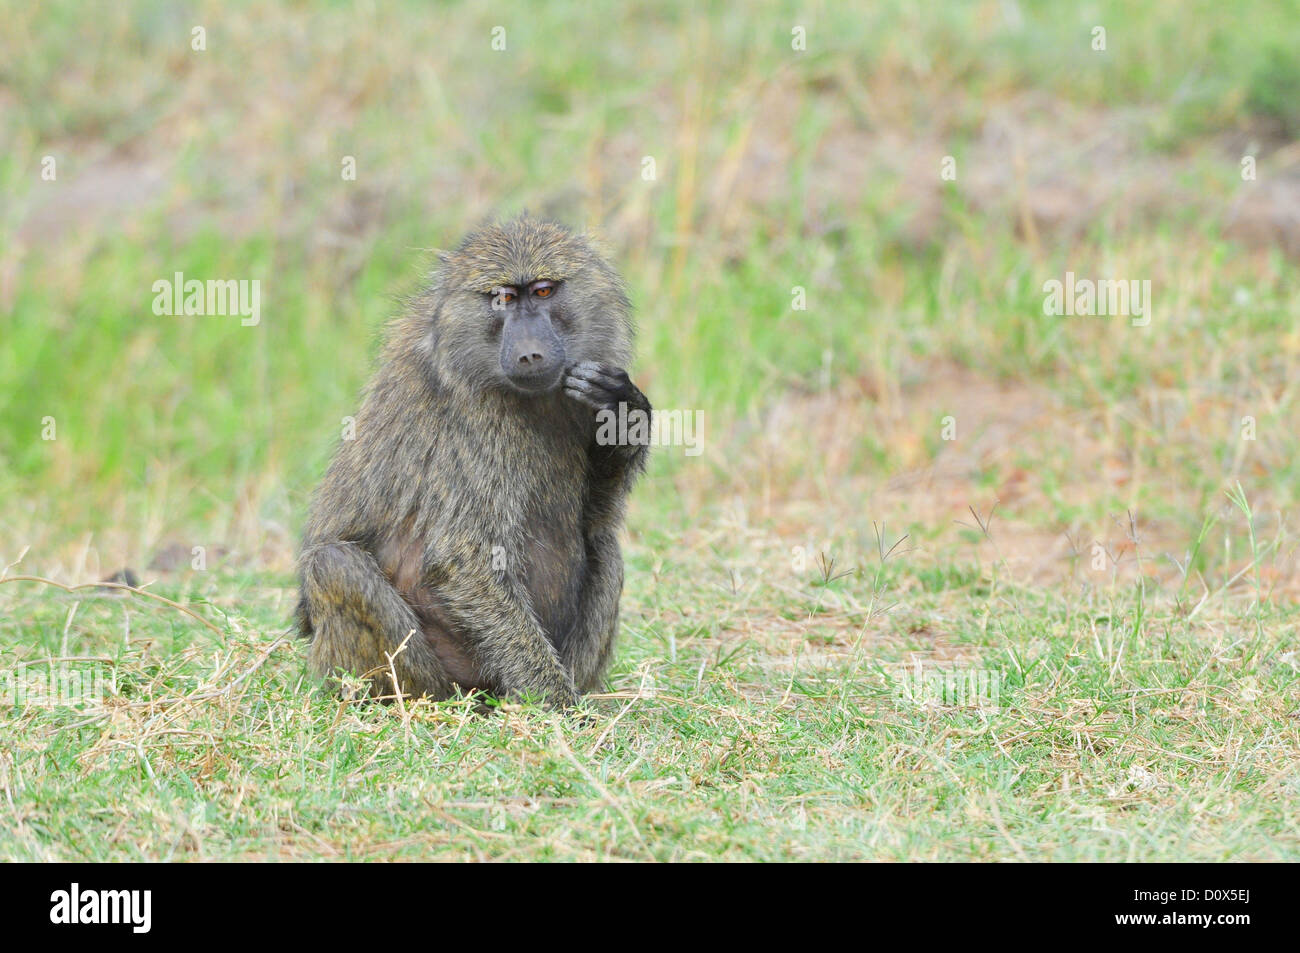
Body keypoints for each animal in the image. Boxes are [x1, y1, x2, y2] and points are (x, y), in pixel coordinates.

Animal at [296, 216, 651, 710]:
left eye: (543, 291)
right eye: (503, 298)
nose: (530, 353)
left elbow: (595, 518)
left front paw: (624, 410)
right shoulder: (476, 422)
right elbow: (466, 558)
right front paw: (559, 706)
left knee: (606, 546)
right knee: (334, 564)